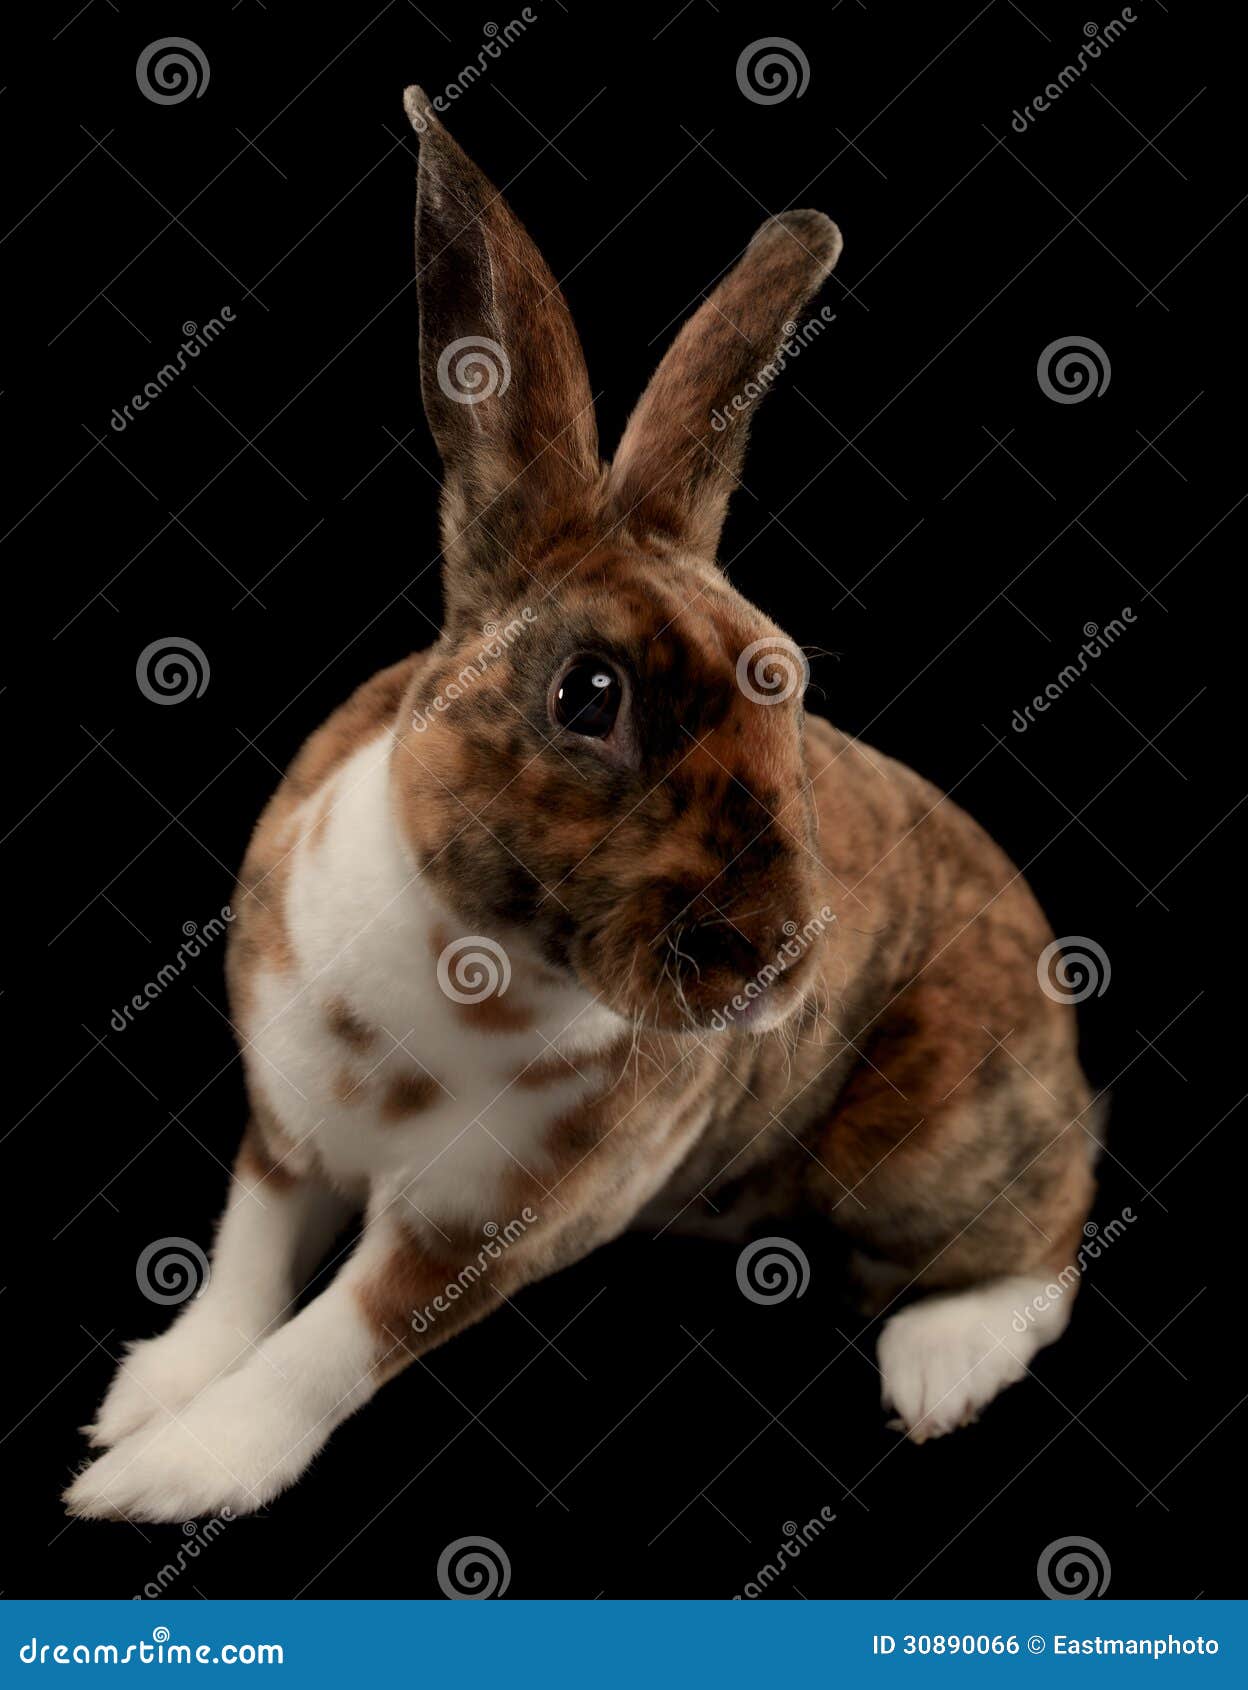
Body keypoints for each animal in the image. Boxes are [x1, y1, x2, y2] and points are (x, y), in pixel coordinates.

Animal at [65, 87, 1097, 1522]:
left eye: (786, 685)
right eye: (587, 693)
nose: (777, 959)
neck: (466, 957)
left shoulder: (486, 1227)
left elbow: (333, 1339)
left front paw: (161, 1475)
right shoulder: (284, 1135)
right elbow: (245, 1262)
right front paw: (145, 1396)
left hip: (934, 1148)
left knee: (1045, 1235)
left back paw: (940, 1363)